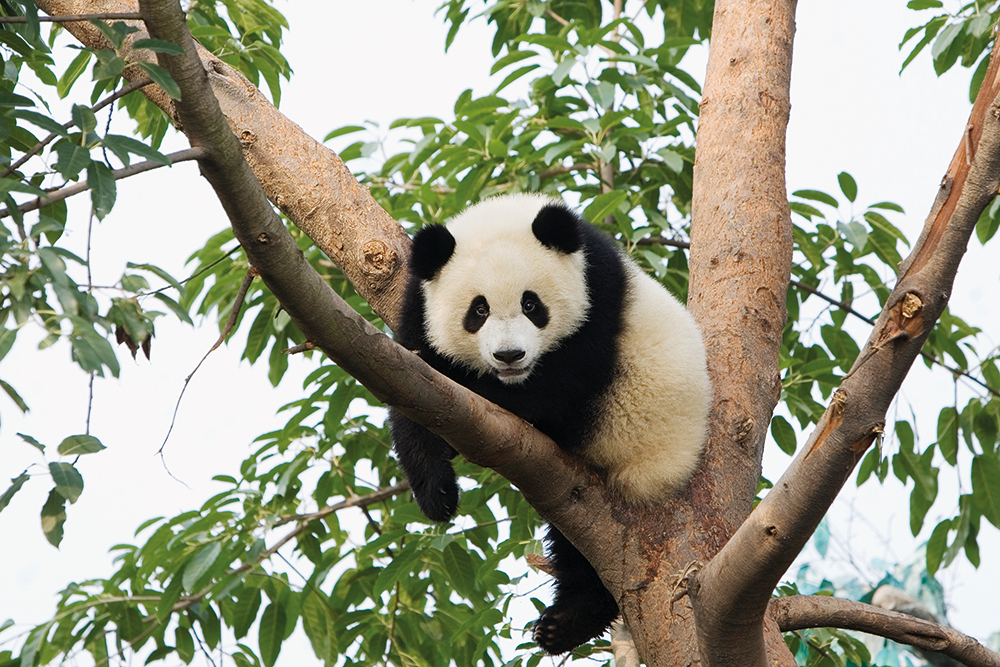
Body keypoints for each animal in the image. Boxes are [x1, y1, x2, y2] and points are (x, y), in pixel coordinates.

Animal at [388, 193, 711, 655]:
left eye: (531, 304)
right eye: (478, 310)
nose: (509, 356)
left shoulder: (599, 298)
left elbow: (556, 386)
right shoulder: (417, 305)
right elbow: (413, 385)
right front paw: (437, 492)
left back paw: (567, 622)